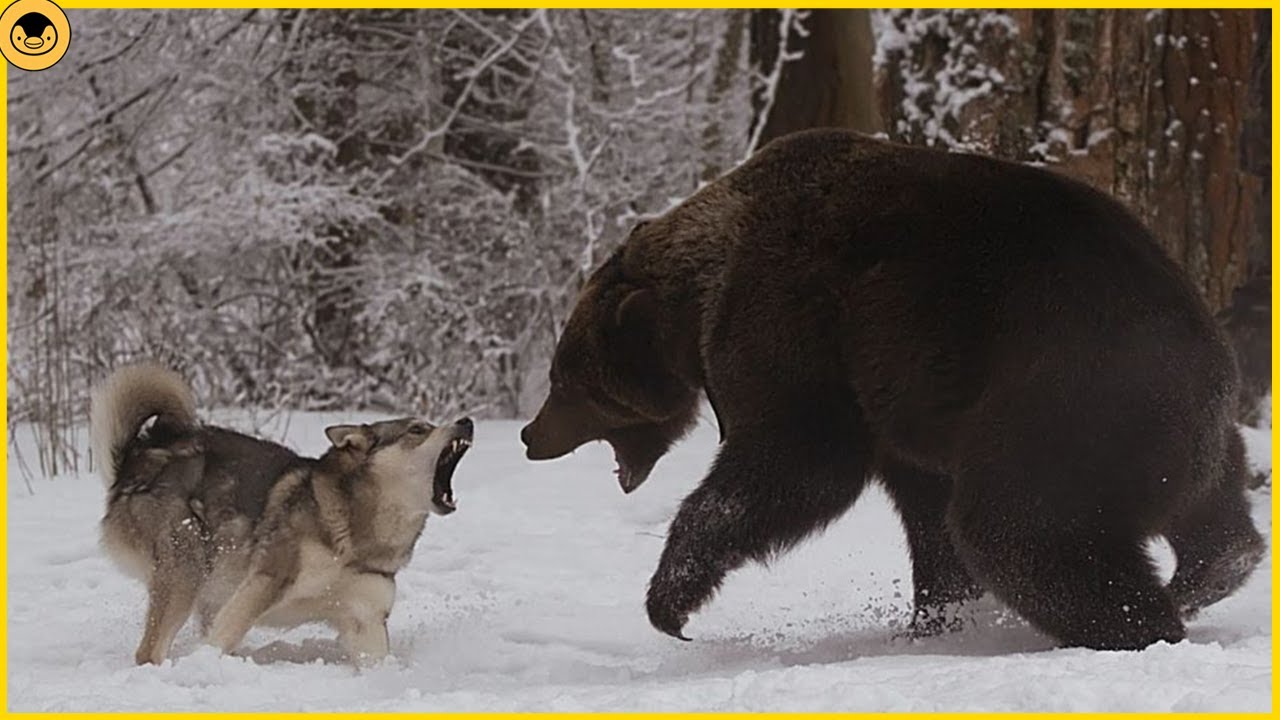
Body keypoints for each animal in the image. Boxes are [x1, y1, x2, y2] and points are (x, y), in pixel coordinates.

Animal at [91, 364, 472, 666]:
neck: (355, 529)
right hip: (188, 564)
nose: (466, 421)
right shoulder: (265, 582)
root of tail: (134, 460)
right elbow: (221, 638)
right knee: (149, 652)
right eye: (418, 429)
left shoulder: (366, 619)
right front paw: (204, 665)